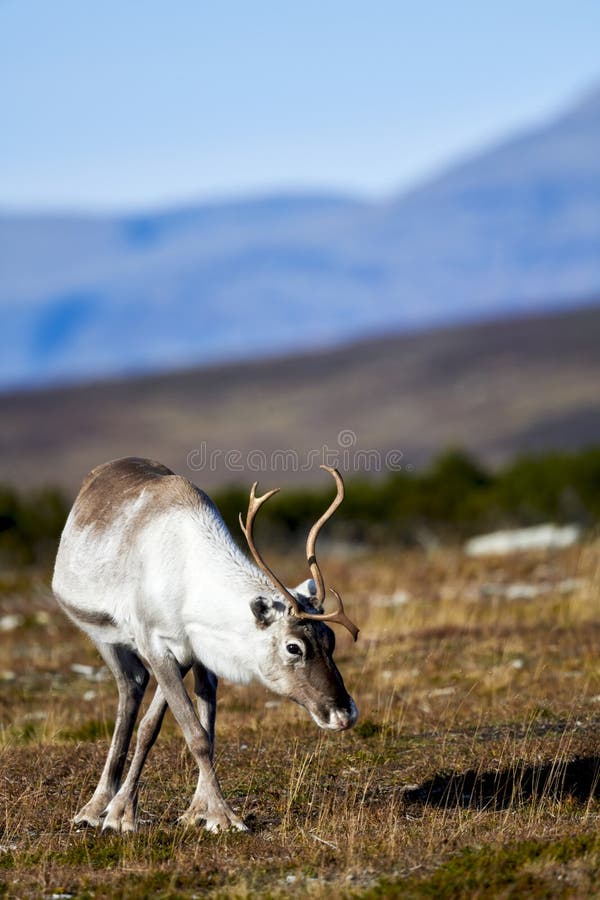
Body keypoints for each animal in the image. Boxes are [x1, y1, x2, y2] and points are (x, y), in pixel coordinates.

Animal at [52, 457, 359, 833]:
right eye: (293, 647)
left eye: (330, 639)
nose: (344, 714)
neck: (188, 576)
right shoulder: (155, 645)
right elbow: (190, 733)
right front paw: (126, 814)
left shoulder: (189, 649)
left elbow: (170, 727)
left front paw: (200, 811)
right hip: (102, 635)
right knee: (130, 685)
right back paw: (94, 807)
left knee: (193, 694)